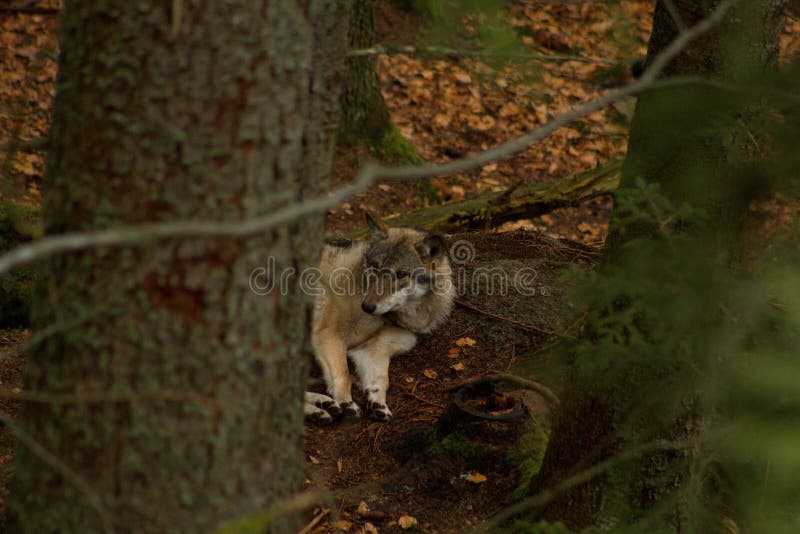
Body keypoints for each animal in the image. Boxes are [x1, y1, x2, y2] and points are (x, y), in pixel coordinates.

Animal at [304, 212, 455, 423]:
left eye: (401, 274)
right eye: (375, 267)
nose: (367, 306)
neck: (386, 318)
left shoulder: (372, 350)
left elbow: (382, 379)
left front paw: (378, 403)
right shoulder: (328, 334)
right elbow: (344, 374)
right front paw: (346, 402)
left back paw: (321, 407)